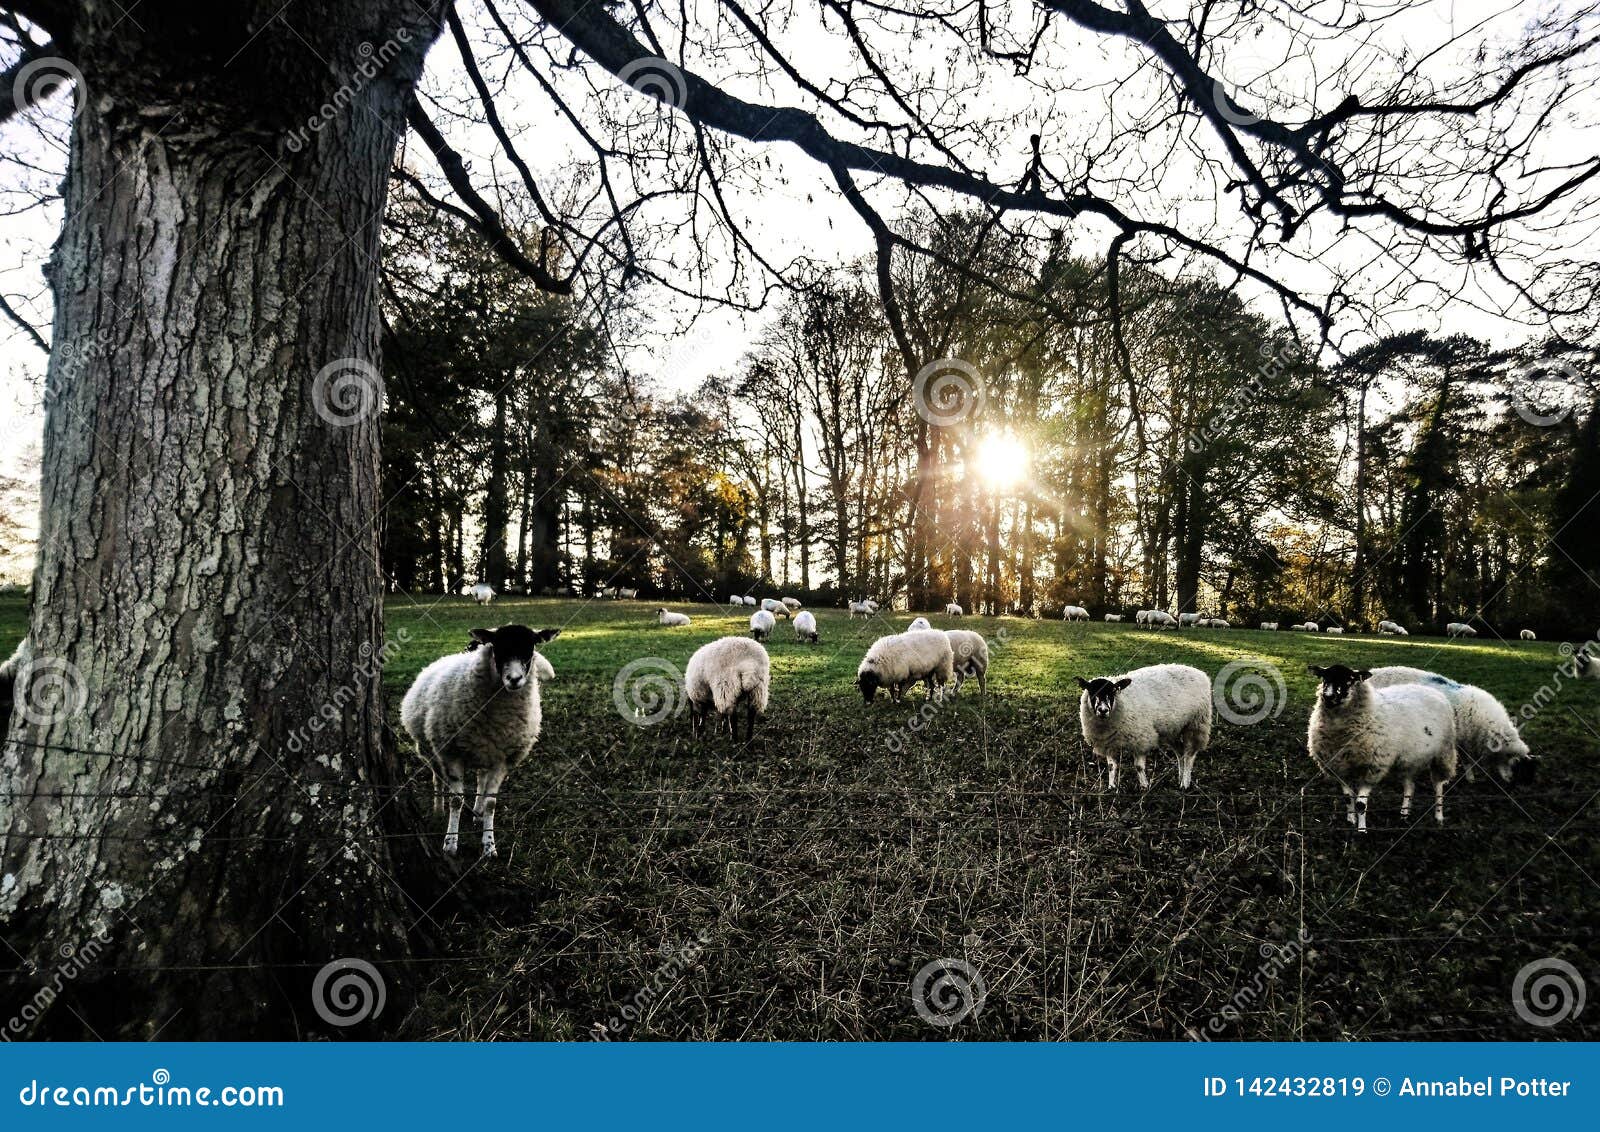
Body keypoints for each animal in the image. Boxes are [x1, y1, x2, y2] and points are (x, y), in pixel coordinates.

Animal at [401, 625, 561, 857]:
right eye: (498, 647)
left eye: (530, 647)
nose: (514, 679)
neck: (500, 715)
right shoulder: (452, 753)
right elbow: (456, 800)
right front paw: (450, 843)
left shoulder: (502, 758)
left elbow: (491, 803)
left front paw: (488, 845)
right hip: (430, 750)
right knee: (437, 778)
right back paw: (439, 810)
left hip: (485, 750)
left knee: (480, 779)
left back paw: (477, 812)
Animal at [1075, 663, 1212, 790]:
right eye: (1091, 691)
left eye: (1113, 691)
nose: (1103, 710)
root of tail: (1200, 673)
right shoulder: (1109, 742)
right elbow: (1111, 766)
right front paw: (1111, 787)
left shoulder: (1141, 740)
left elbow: (1139, 767)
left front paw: (1144, 786)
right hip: (1171, 729)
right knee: (1180, 753)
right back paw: (1180, 778)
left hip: (1196, 724)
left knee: (1189, 755)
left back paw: (1185, 783)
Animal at [1306, 664, 1456, 832]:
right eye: (1324, 677)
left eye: (1350, 679)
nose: (1328, 696)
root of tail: (1434, 692)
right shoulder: (1338, 768)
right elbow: (1347, 798)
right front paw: (1350, 820)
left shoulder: (1372, 768)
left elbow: (1360, 804)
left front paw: (1362, 830)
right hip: (1407, 760)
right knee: (1410, 786)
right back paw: (1404, 814)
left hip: (1443, 753)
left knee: (1438, 787)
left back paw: (1439, 816)